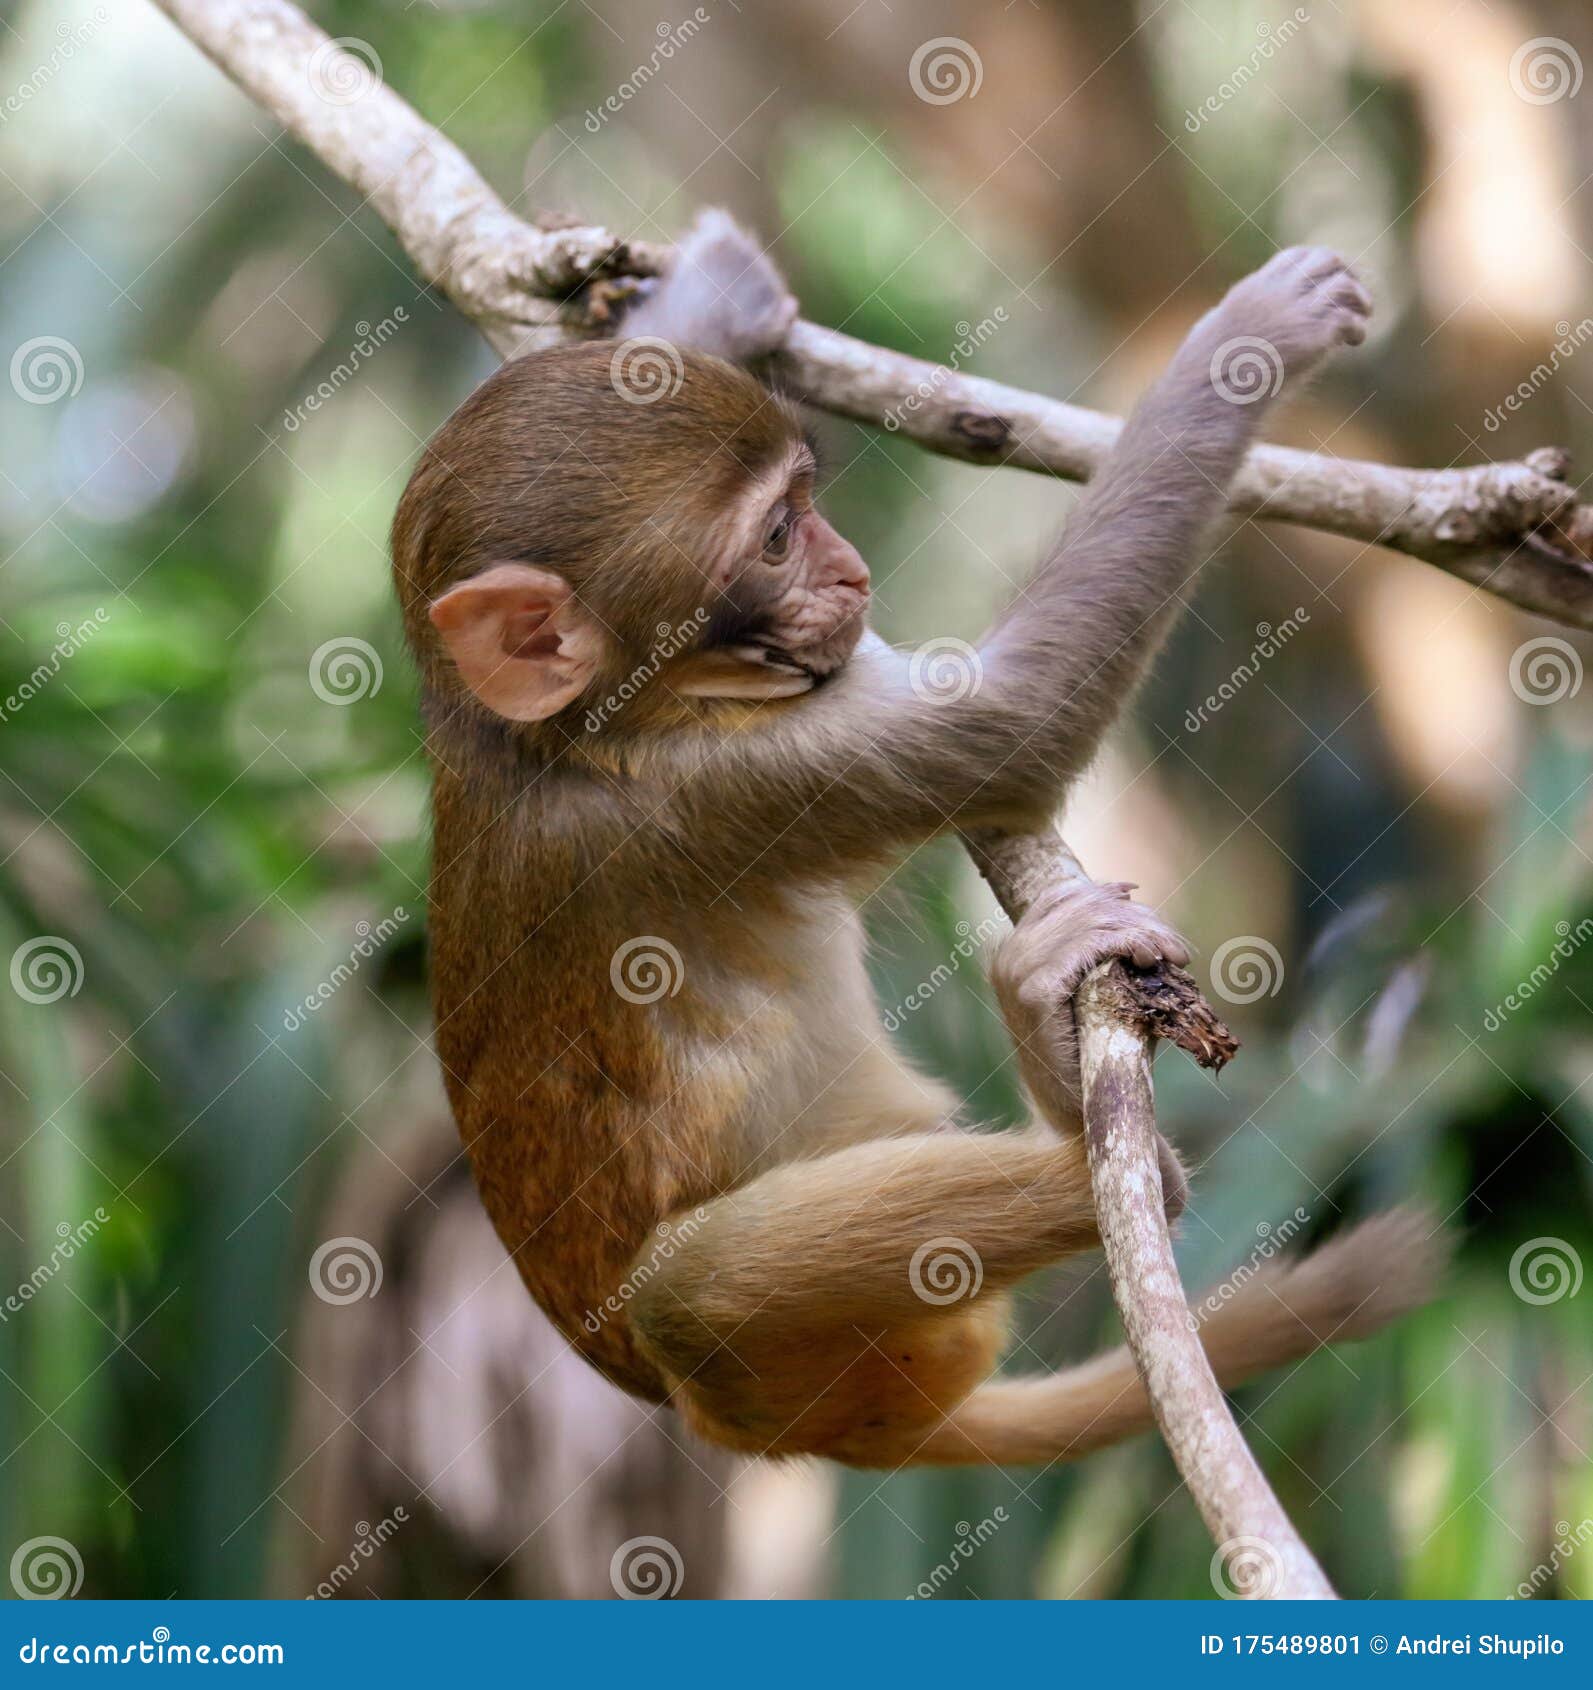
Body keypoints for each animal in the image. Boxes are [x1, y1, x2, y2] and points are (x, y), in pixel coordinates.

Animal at [389, 212, 1443, 1470]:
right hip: (783, 1370)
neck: (542, 739)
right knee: (691, 1293)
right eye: (777, 539)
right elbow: (1020, 720)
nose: (849, 571)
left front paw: (703, 304)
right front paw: (1248, 341)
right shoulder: (729, 783)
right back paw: (1094, 1120)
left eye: (802, 505)